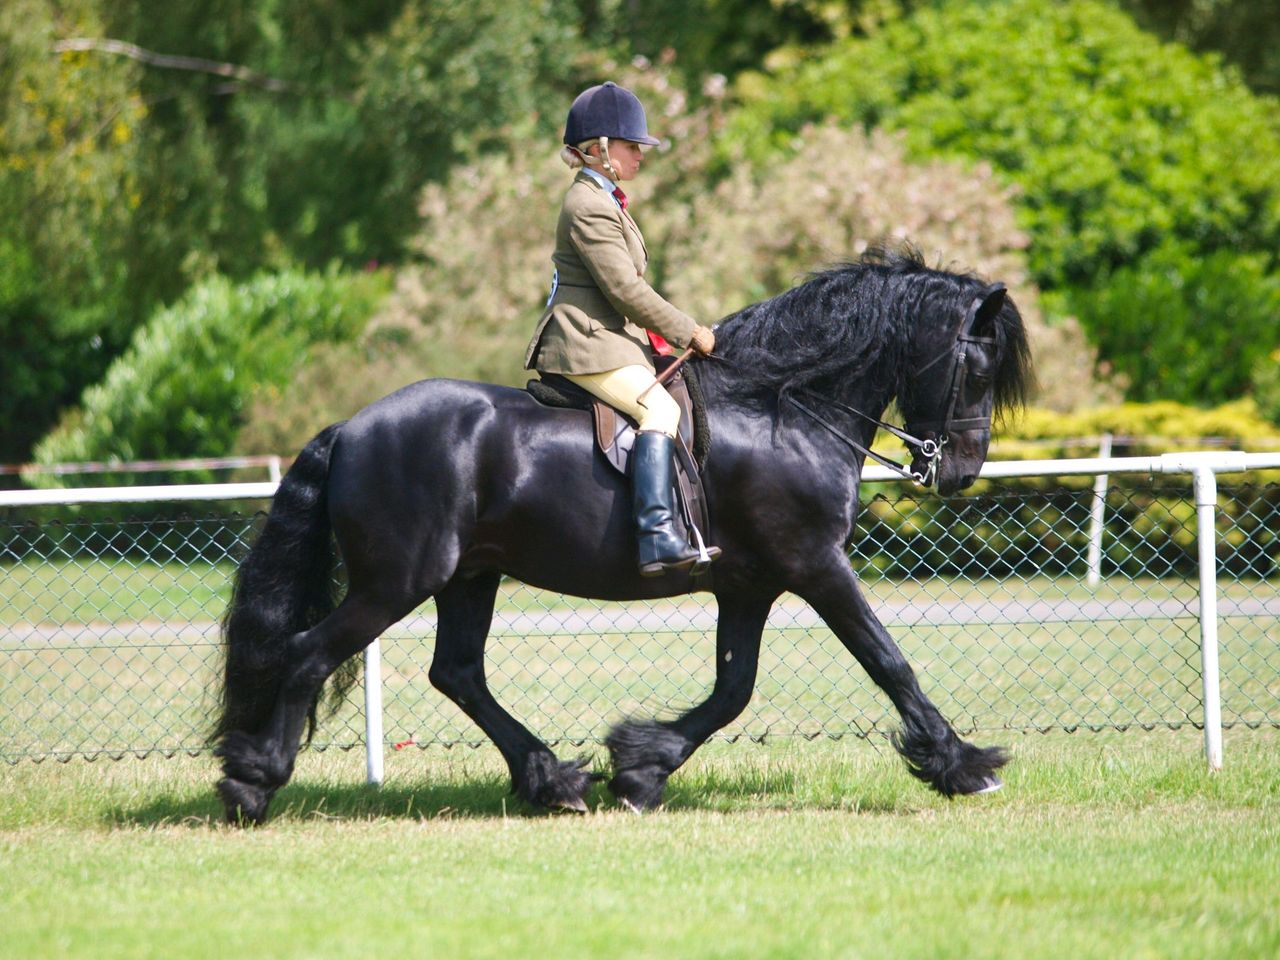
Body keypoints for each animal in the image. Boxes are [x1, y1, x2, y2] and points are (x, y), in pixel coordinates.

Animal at [211, 244, 1034, 824]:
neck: (780, 408)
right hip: (398, 581)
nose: (959, 472)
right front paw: (965, 765)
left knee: (458, 673)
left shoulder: (750, 584)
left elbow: (733, 688)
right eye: (977, 369)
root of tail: (351, 428)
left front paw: (641, 767)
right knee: (309, 653)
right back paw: (252, 784)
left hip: (470, 576)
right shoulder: (815, 565)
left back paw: (554, 781)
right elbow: (888, 662)